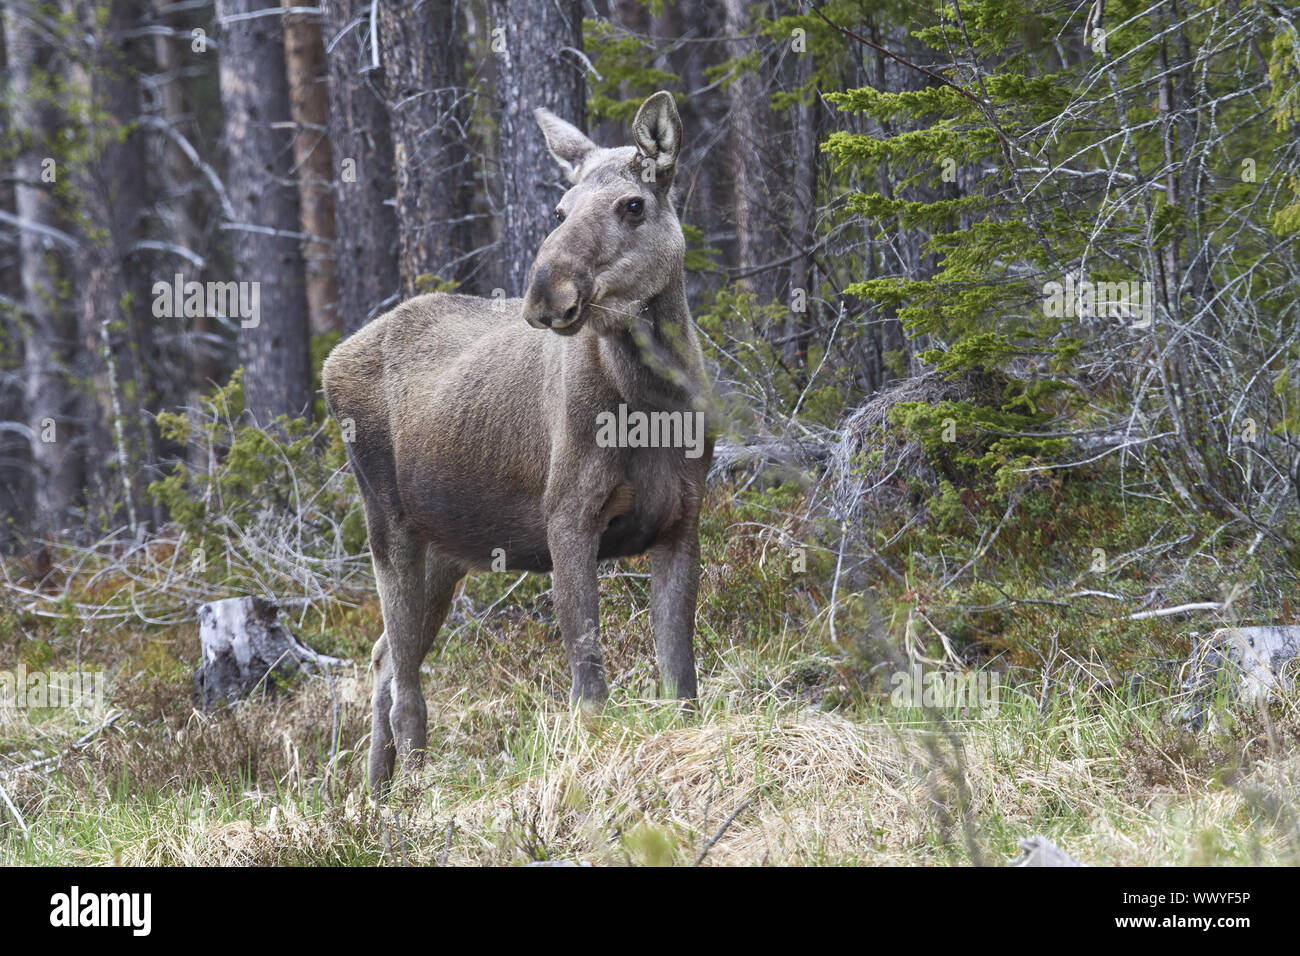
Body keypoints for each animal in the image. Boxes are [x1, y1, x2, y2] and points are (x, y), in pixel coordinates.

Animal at [322, 91, 713, 790]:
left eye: (633, 205)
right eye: (559, 209)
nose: (545, 292)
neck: (652, 408)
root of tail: (329, 364)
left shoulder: (683, 519)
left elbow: (681, 678)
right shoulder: (567, 516)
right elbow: (588, 679)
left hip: (450, 546)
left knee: (383, 655)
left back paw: (376, 793)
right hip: (386, 519)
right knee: (405, 678)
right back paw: (409, 792)